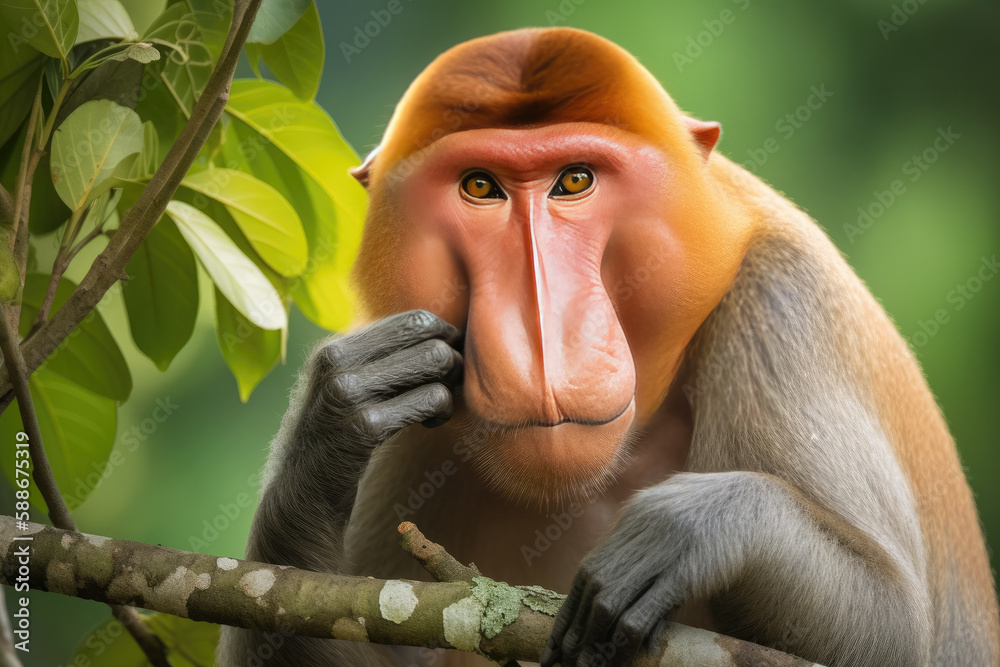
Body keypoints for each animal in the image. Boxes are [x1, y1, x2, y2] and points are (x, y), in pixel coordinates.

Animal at [217, 27, 1000, 667]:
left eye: (575, 179)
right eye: (480, 186)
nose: (541, 332)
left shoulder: (782, 304)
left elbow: (895, 627)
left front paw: (686, 533)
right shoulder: (419, 419)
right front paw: (335, 419)